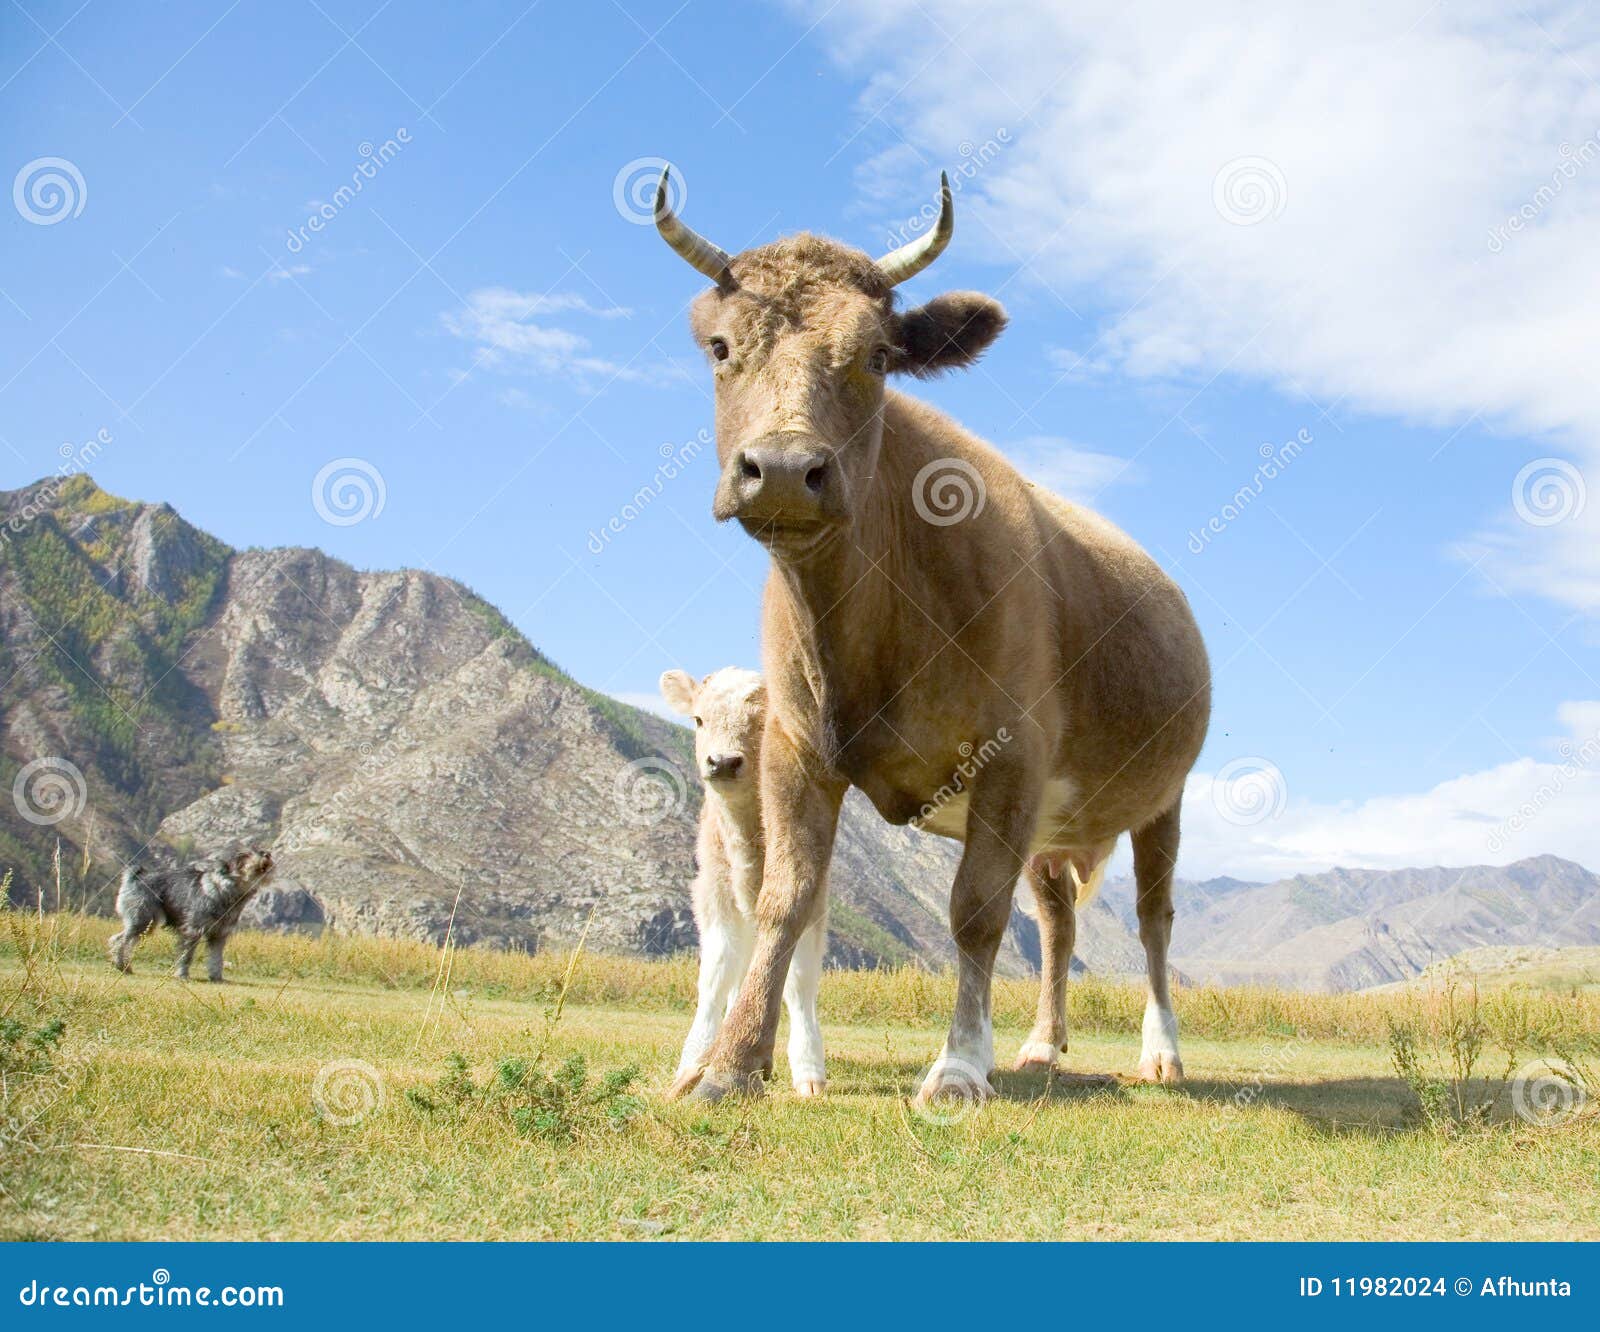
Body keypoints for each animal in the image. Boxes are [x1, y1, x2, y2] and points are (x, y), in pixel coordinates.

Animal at [659, 666, 827, 1098]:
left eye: (765, 725)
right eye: (698, 719)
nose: (722, 762)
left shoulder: (814, 892)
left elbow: (799, 980)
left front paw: (809, 1070)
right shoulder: (713, 892)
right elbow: (715, 972)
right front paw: (694, 1060)